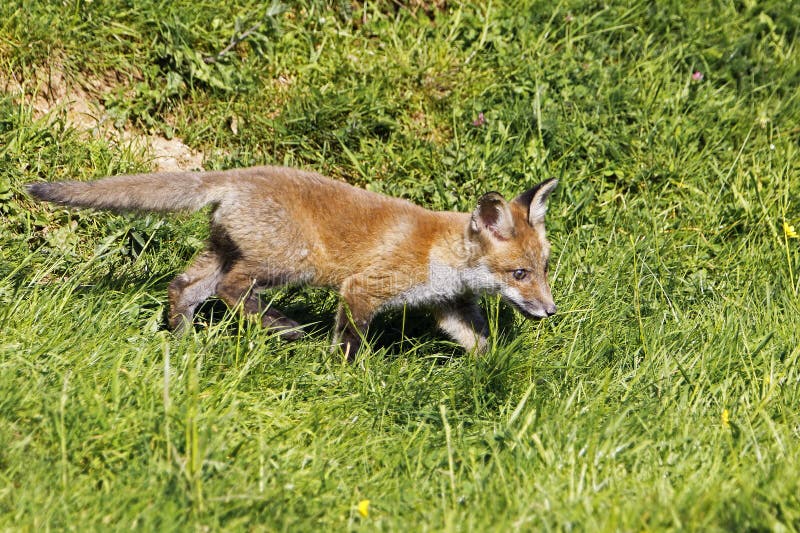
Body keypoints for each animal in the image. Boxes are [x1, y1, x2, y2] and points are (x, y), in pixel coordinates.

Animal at [26, 166, 558, 359]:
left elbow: (480, 343)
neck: (441, 256)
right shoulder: (363, 288)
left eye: (544, 268)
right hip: (288, 263)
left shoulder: (448, 306)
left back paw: (183, 344)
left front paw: (493, 372)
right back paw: (282, 326)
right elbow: (350, 344)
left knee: (184, 287)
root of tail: (236, 175)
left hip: (226, 252)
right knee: (231, 290)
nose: (550, 310)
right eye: (519, 274)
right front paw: (348, 377)